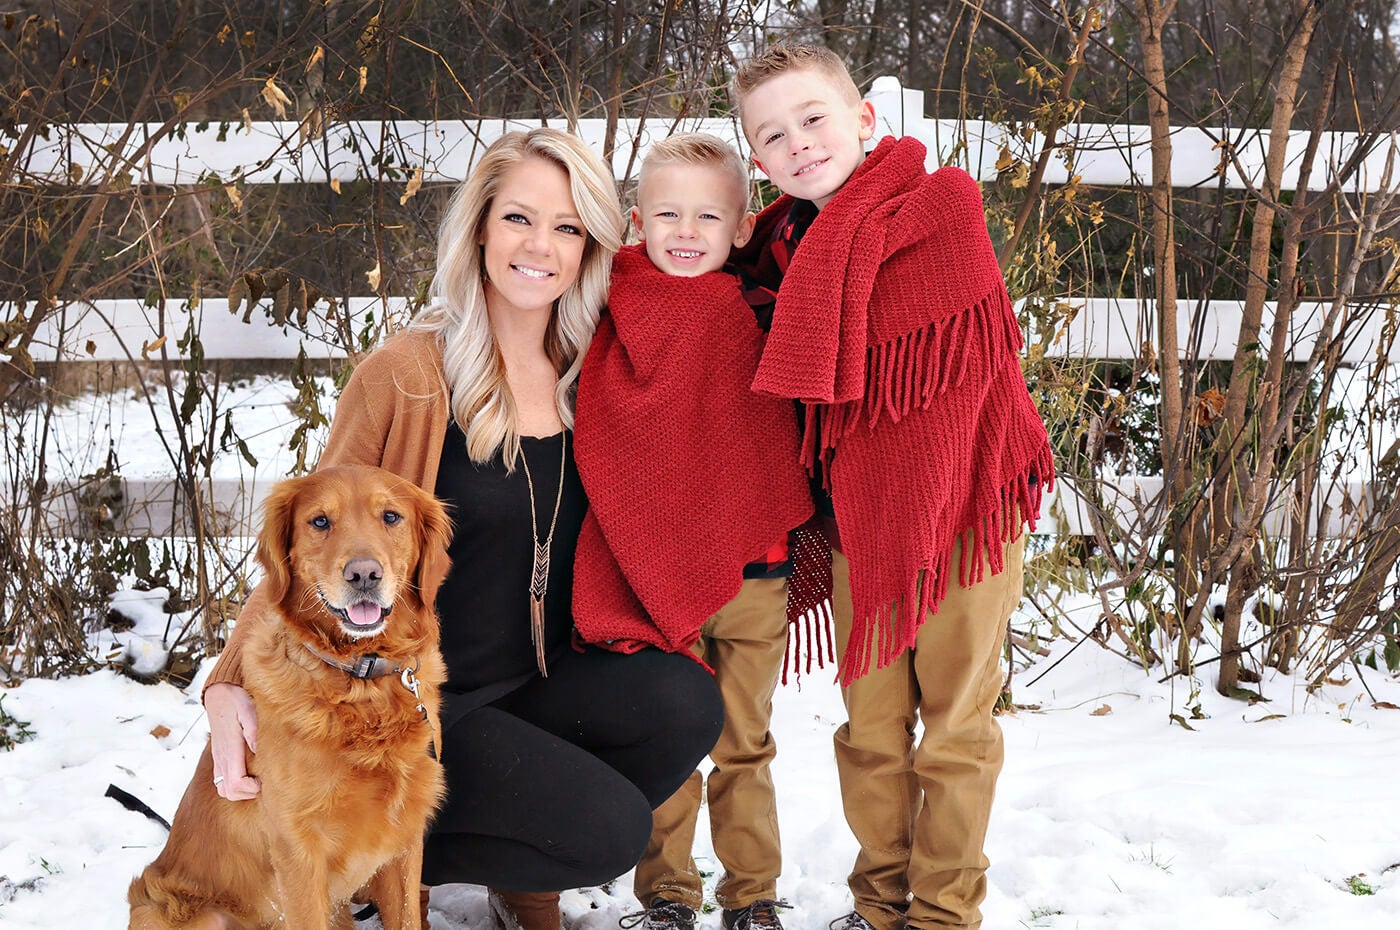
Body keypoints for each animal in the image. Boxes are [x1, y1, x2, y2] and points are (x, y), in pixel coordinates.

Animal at [128, 465, 448, 930]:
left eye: (391, 517)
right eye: (320, 521)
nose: (364, 575)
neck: (360, 682)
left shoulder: (403, 839)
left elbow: (406, 916)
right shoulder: (298, 852)